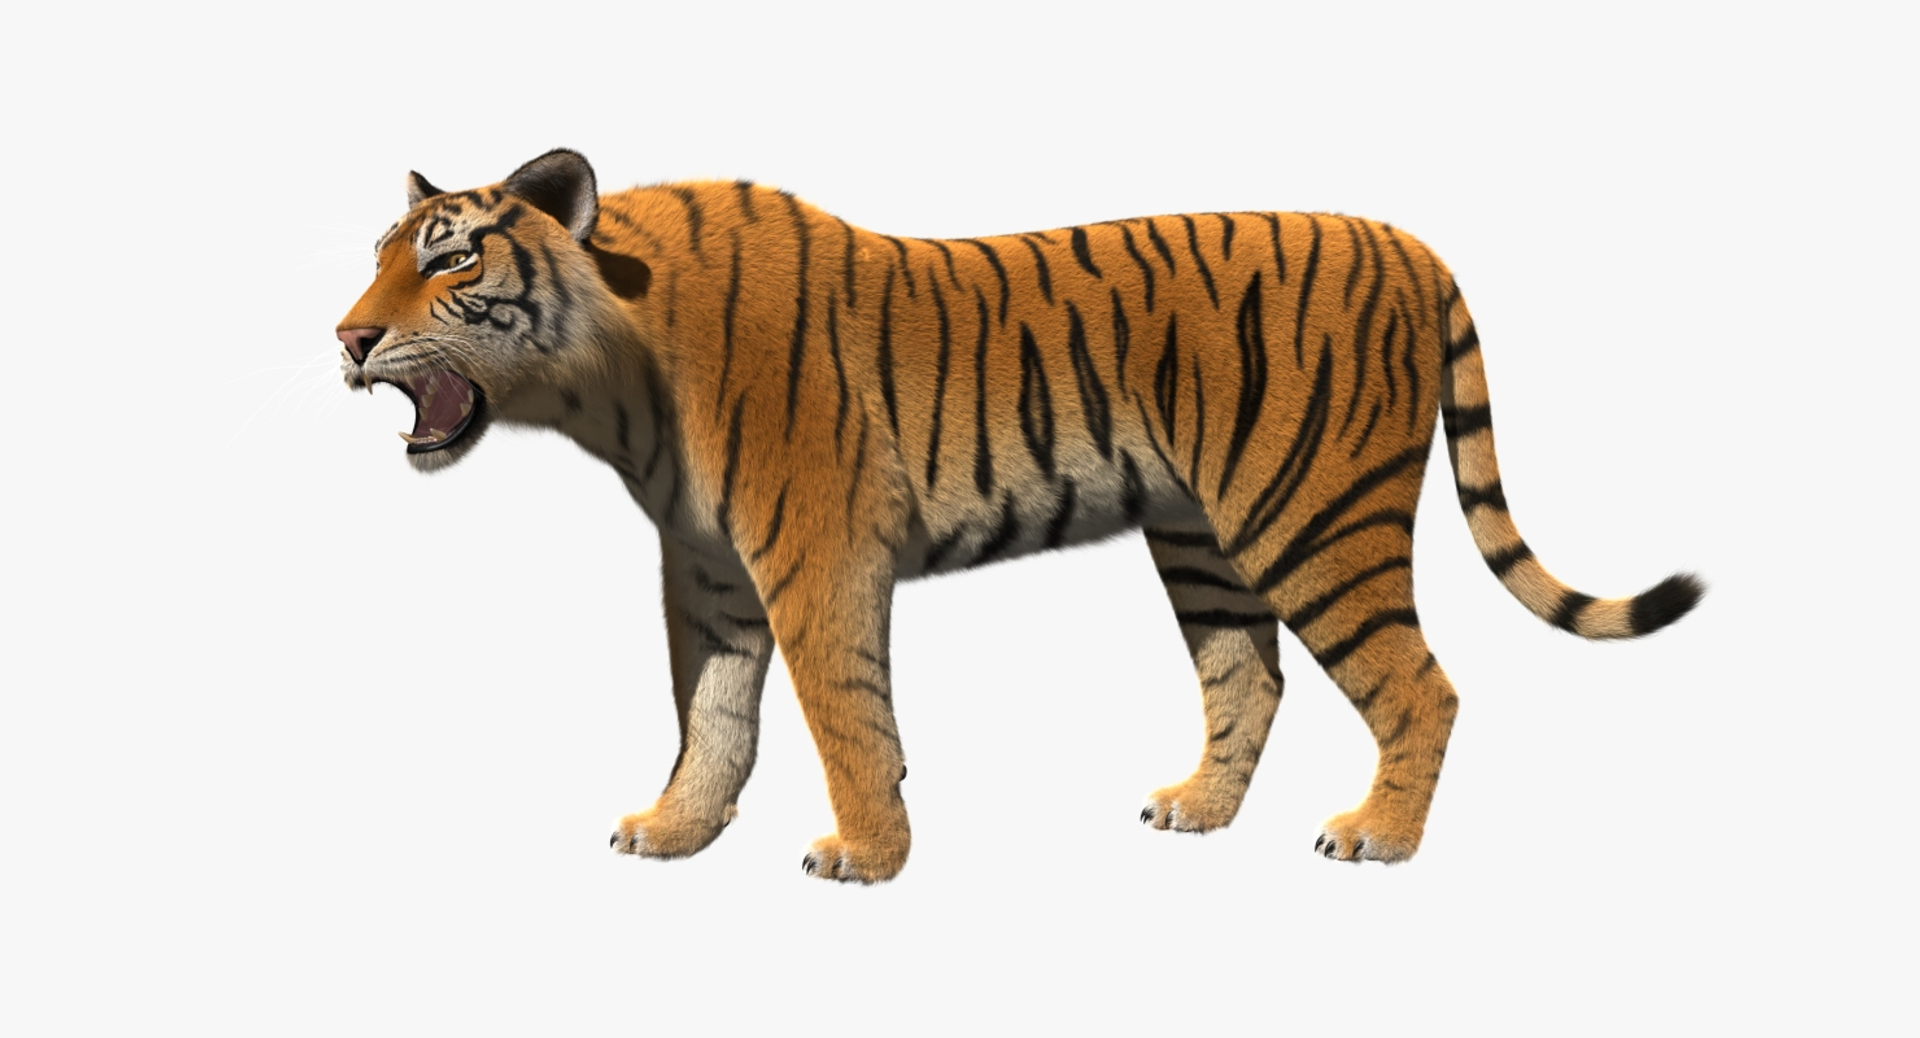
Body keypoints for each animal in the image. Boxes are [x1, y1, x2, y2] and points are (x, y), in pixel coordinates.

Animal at [336, 149, 1702, 883]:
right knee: (1248, 677)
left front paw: (863, 855)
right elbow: (713, 716)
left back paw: (1377, 839)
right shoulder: (710, 573)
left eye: (452, 258)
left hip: (1312, 519)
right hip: (1203, 539)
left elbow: (842, 712)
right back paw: (1196, 810)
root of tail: (1415, 246)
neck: (611, 379)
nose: (346, 338)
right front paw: (674, 832)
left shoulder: (815, 554)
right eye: (380, 253)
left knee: (1421, 685)